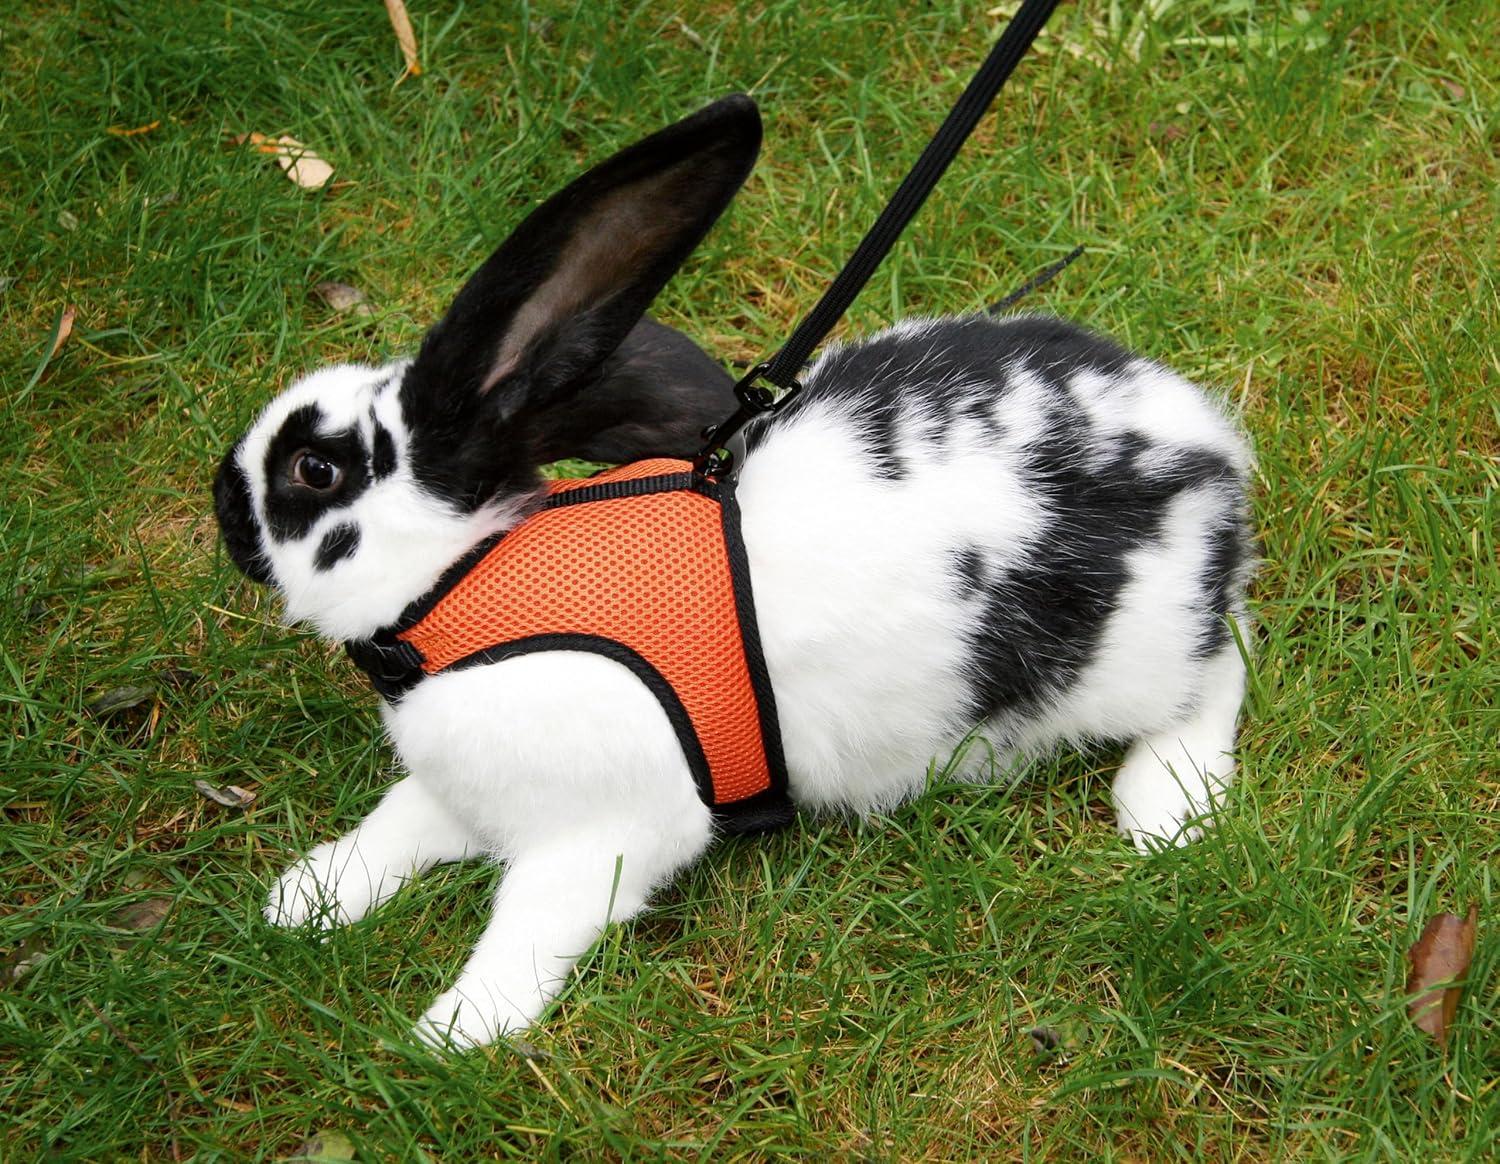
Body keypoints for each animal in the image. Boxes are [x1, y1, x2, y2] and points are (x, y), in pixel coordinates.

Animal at [213, 94, 1254, 1049]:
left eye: (314, 470)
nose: (222, 496)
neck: (462, 585)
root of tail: (1197, 433)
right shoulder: (460, 792)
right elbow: (395, 825)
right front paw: (303, 899)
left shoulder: (604, 831)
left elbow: (530, 921)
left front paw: (458, 1031)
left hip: (1130, 655)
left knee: (1223, 665)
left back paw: (1166, 807)